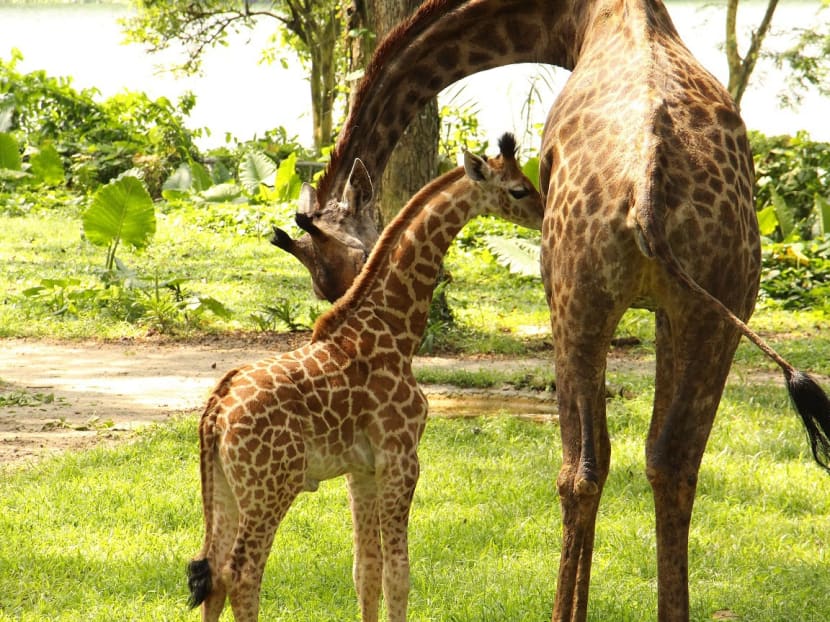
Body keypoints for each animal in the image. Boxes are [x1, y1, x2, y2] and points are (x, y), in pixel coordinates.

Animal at [186, 133, 543, 622]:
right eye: (520, 190)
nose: (545, 214)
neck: (395, 331)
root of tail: (215, 412)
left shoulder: (362, 469)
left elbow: (366, 570)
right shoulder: (402, 458)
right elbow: (399, 574)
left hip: (224, 483)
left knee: (214, 573)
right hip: (270, 486)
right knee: (241, 573)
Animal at [270, 1, 830, 620]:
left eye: (328, 275)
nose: (339, 320)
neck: (568, 21)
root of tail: (647, 184)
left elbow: (593, 458)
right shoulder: (670, 310)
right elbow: (652, 453)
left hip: (574, 303)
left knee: (578, 469)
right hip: (721, 305)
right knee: (673, 461)